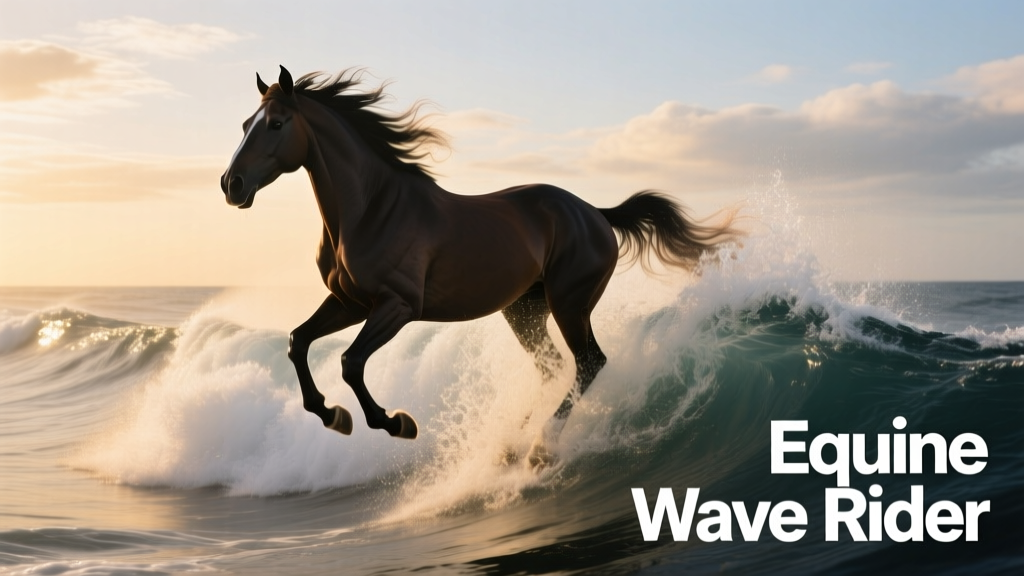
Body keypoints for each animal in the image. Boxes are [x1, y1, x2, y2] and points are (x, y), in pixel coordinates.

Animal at [220, 66, 739, 467]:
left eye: (276, 124)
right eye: (246, 122)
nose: (231, 184)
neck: (371, 210)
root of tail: (595, 212)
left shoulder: (397, 306)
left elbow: (350, 362)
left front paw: (396, 423)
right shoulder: (350, 302)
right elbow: (298, 342)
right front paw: (333, 416)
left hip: (570, 303)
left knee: (590, 362)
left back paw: (539, 448)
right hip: (525, 311)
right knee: (554, 367)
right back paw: (513, 439)